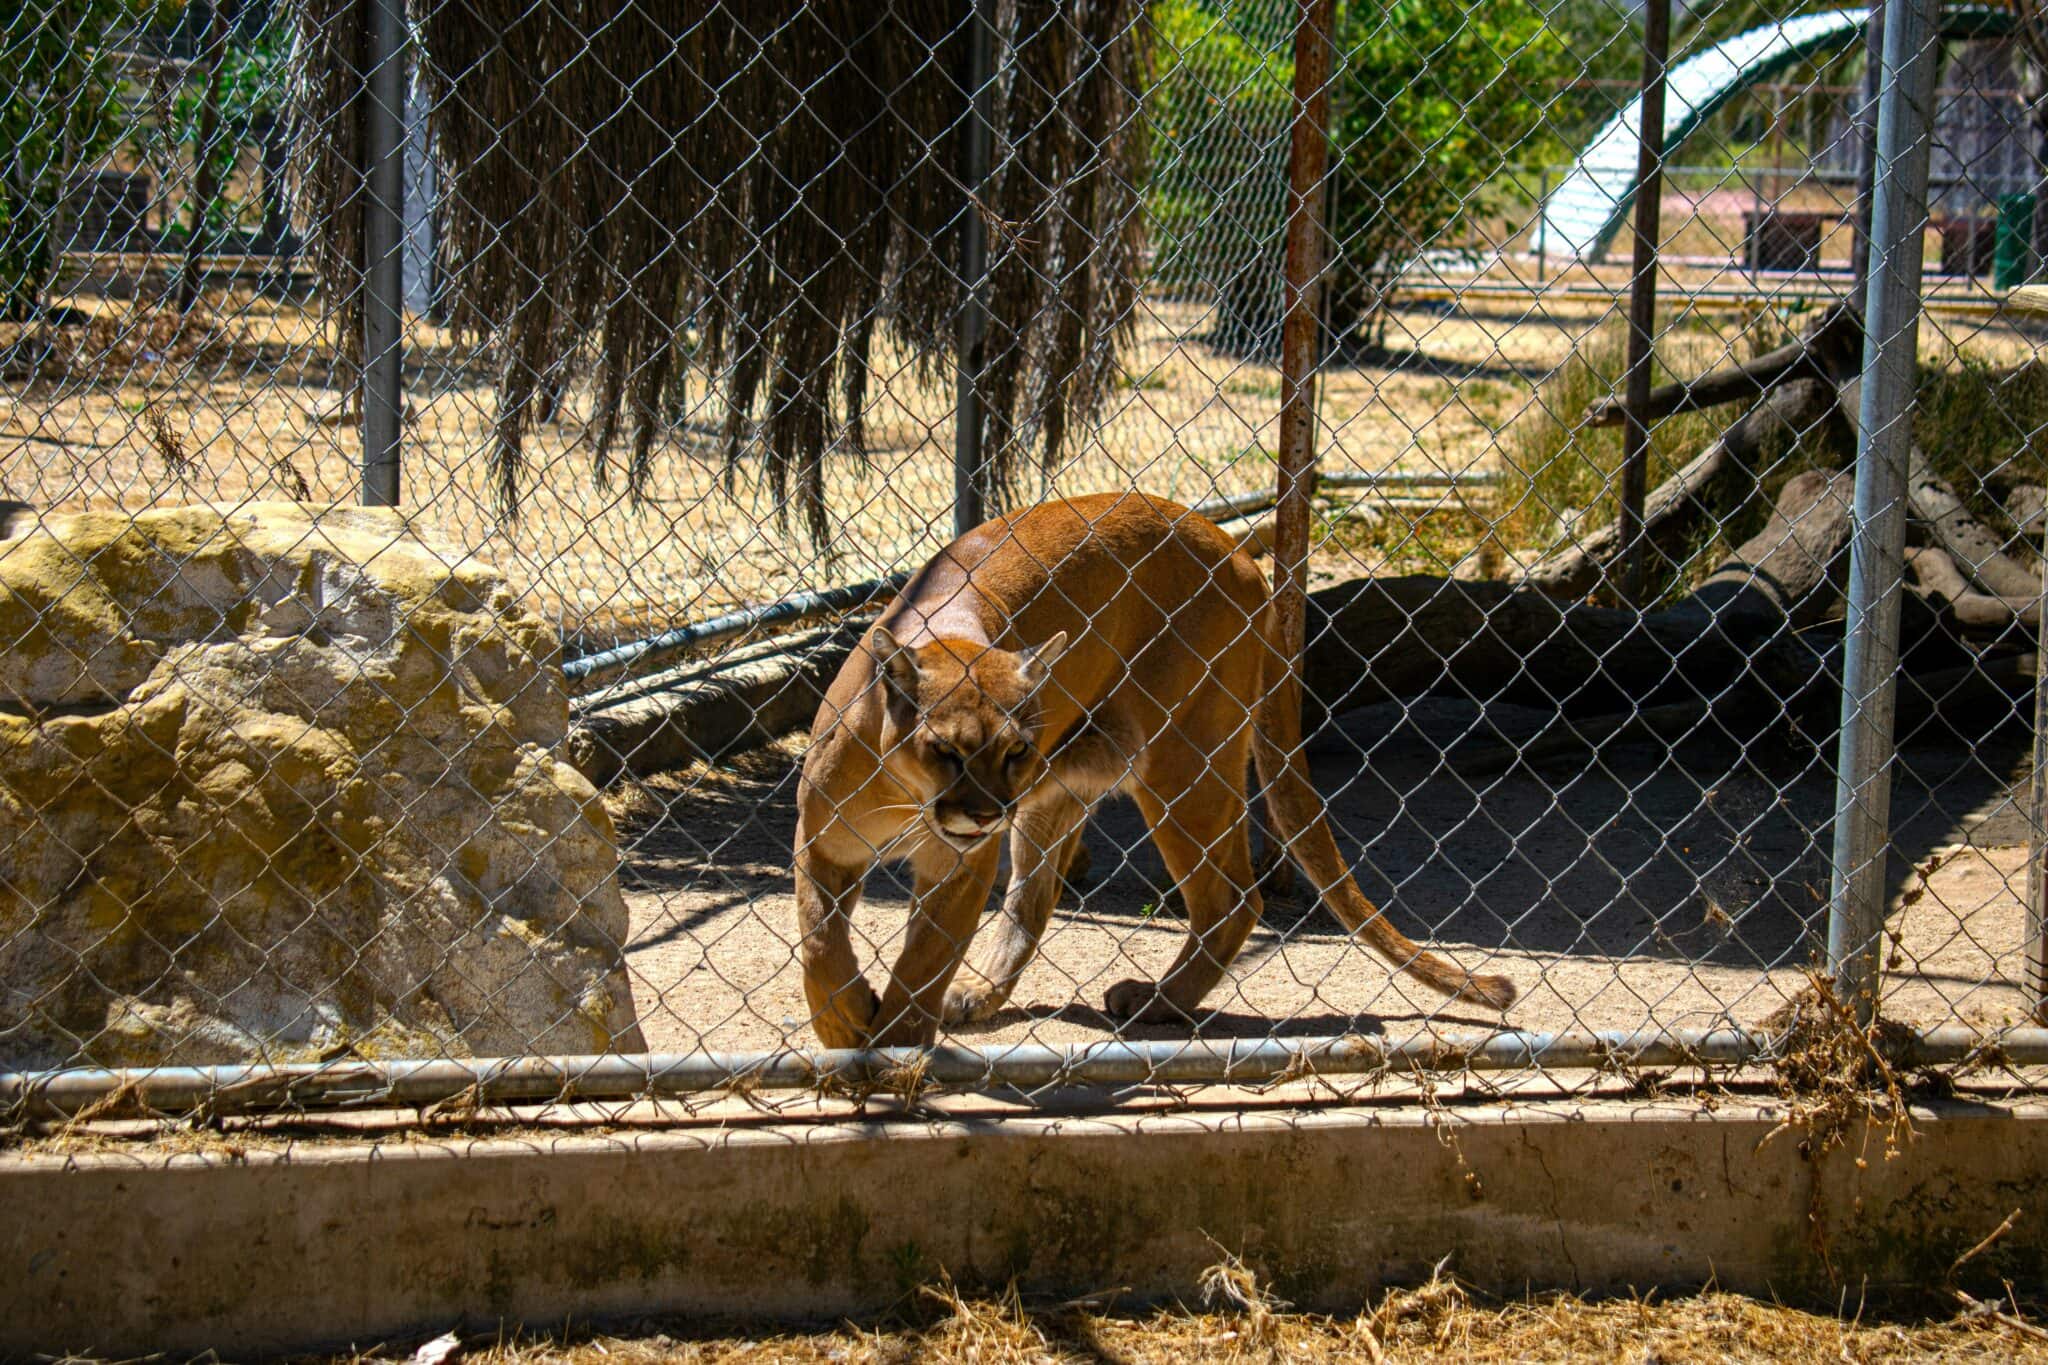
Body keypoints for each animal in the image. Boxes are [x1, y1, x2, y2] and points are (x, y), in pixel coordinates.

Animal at [793, 491, 1516, 1047]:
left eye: (1013, 750)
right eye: (945, 750)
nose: (985, 812)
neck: (904, 796)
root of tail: (1237, 551)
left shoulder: (961, 863)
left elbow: (924, 956)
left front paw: (893, 1042)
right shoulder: (822, 841)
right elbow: (820, 938)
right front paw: (844, 1019)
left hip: (1179, 762)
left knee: (1231, 898)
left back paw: (1155, 1002)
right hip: (1068, 788)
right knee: (1036, 894)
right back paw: (983, 992)